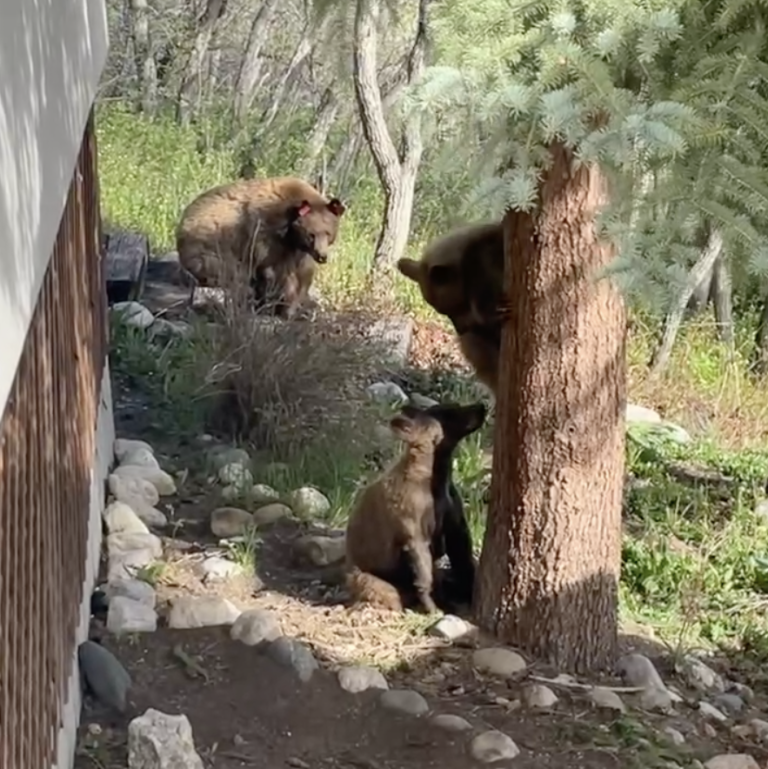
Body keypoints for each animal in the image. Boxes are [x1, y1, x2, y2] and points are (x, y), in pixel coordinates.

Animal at [176, 176, 346, 319]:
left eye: (328, 233)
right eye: (312, 234)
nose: (322, 256)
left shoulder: (296, 249)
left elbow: (302, 274)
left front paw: (296, 307)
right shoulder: (264, 233)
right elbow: (274, 271)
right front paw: (280, 305)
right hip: (211, 250)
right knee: (233, 275)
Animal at [344, 400, 486, 613]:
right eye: (451, 413)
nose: (482, 406)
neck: (437, 479)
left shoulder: (456, 527)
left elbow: (465, 562)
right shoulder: (415, 535)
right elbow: (425, 577)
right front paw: (433, 608)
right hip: (374, 581)